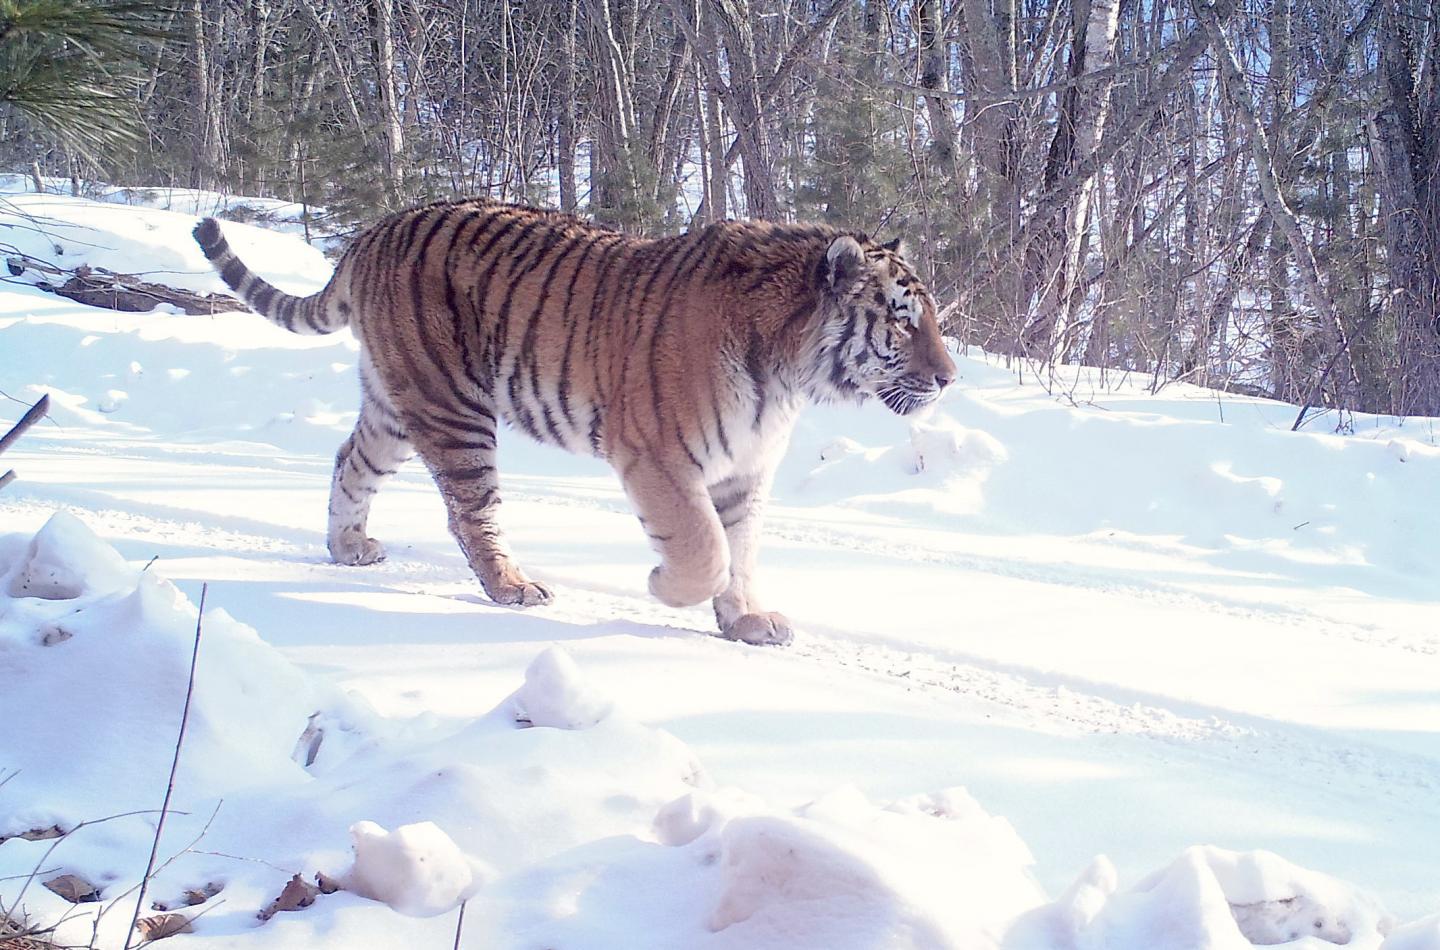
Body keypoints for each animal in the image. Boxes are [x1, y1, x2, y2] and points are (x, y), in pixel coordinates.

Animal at [193, 200, 956, 645]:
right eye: (902, 320)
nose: (950, 378)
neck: (789, 373)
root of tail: (376, 230)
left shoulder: (745, 468)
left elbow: (741, 550)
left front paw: (744, 619)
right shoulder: (657, 454)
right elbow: (704, 547)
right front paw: (666, 588)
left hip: (396, 404)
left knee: (350, 460)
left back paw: (348, 547)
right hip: (451, 405)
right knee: (470, 510)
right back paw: (511, 586)